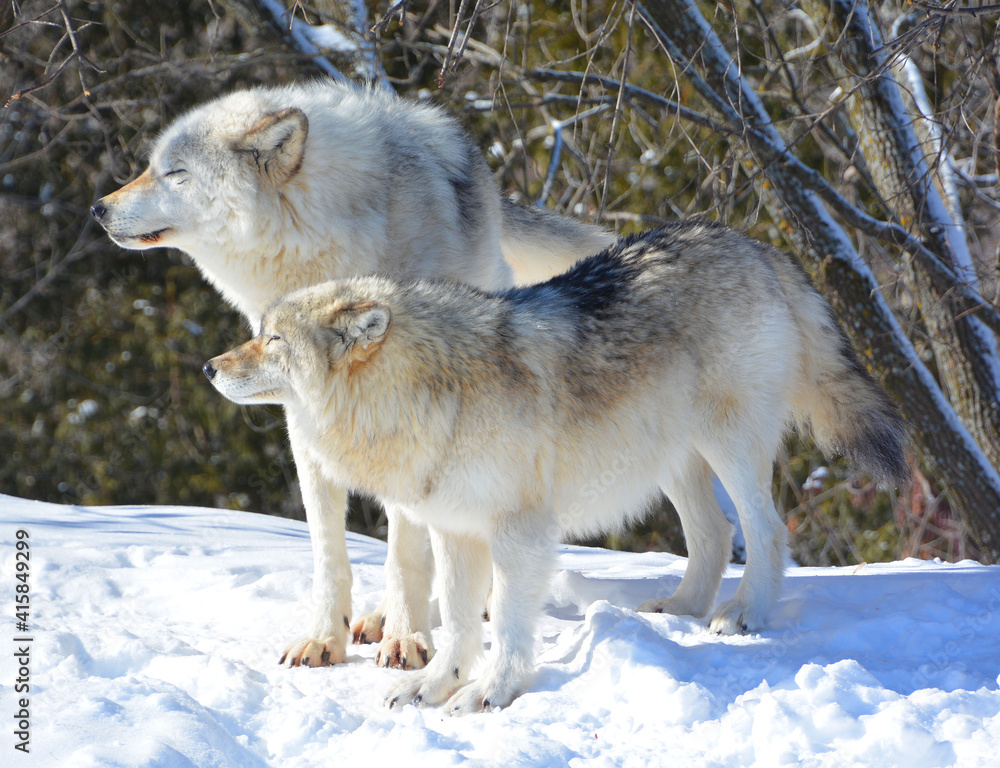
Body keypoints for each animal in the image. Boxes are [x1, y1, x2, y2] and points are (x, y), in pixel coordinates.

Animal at [90, 81, 613, 670]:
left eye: (175, 172)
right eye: (149, 167)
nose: (97, 208)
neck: (323, 235)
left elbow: (405, 550)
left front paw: (406, 638)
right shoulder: (305, 416)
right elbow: (327, 548)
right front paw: (324, 638)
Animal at [203, 222, 909, 713]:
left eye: (272, 340)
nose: (208, 367)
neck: (431, 394)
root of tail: (757, 246)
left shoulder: (520, 532)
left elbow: (511, 622)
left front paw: (494, 693)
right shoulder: (455, 530)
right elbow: (459, 623)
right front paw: (433, 686)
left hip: (725, 446)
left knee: (765, 531)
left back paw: (742, 615)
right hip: (670, 462)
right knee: (712, 533)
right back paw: (678, 609)